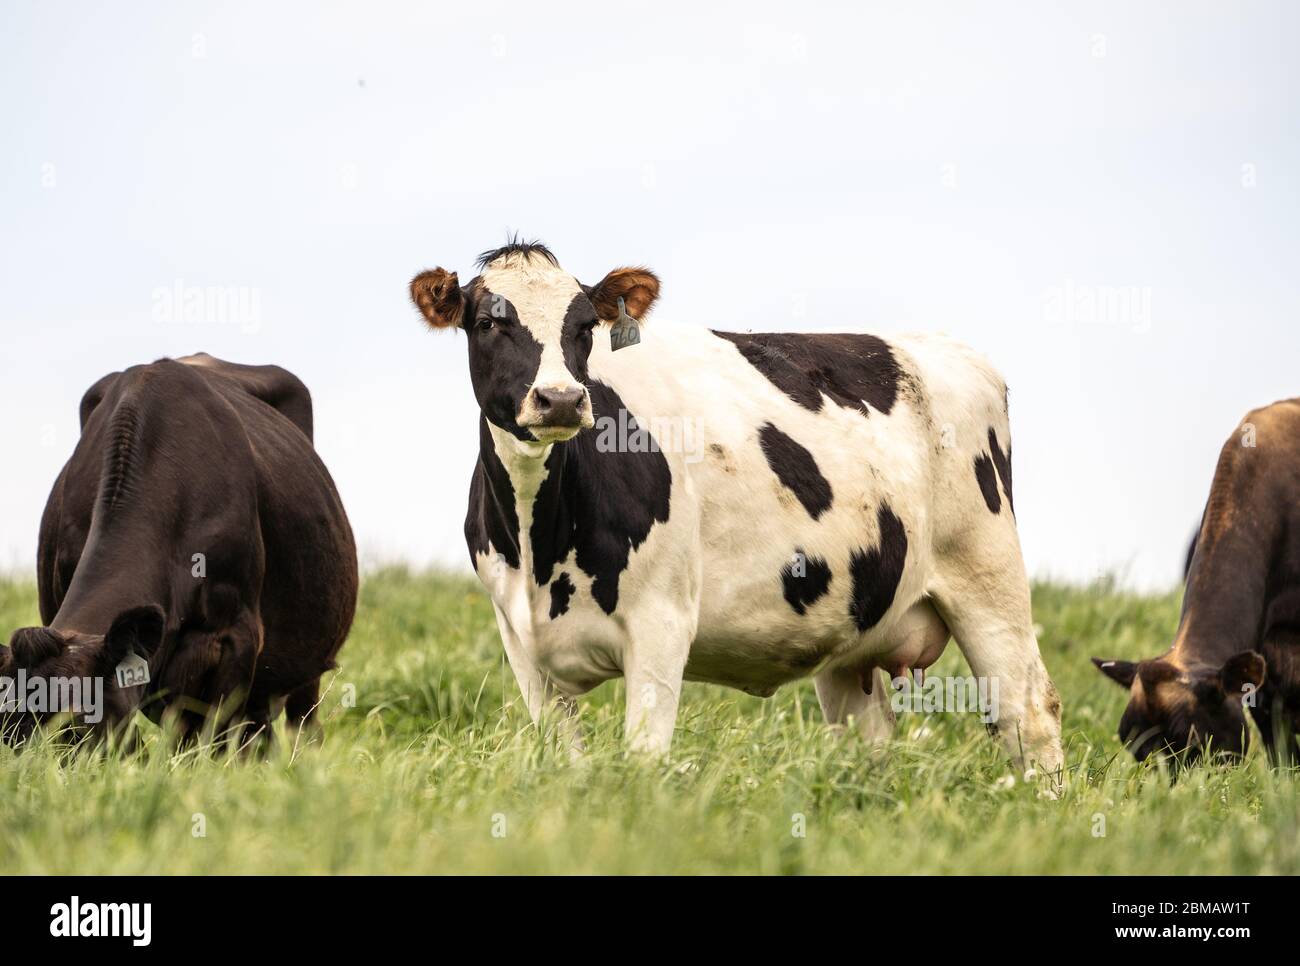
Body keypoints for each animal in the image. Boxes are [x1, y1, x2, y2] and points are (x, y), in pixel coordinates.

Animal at [0, 354, 358, 746]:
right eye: (7, 729)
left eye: (80, 719)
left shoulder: (238, 635)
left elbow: (217, 737)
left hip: (309, 664)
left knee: (299, 723)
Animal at [410, 239, 1063, 776]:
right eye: (488, 323)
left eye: (585, 327)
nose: (562, 399)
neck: (539, 544)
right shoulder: (523, 646)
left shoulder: (662, 622)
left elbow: (644, 756)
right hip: (856, 629)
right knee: (869, 739)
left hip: (988, 578)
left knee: (1029, 711)